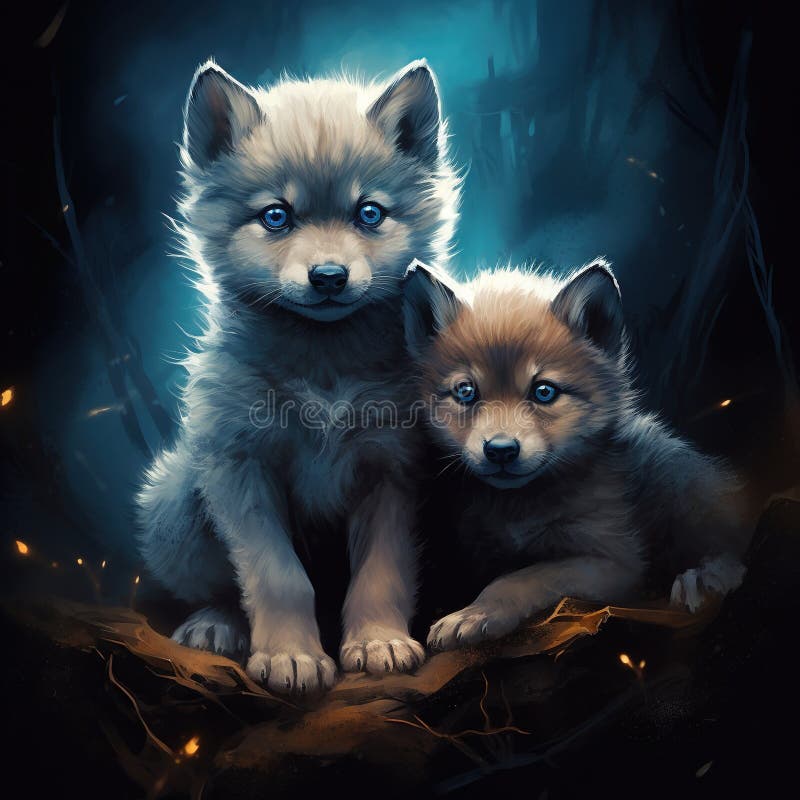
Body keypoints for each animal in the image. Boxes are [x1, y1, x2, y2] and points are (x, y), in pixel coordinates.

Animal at [136, 60, 460, 692]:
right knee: (220, 588)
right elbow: (277, 576)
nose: (329, 276)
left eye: (369, 213)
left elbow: (380, 573)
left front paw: (377, 642)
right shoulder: (241, 468)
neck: (324, 367)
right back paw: (215, 624)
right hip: (175, 503)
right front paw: (292, 656)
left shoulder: (392, 470)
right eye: (276, 216)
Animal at [403, 260, 750, 650]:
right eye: (465, 391)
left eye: (544, 391)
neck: (521, 506)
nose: (500, 451)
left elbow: (523, 577)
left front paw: (476, 615)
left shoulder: (615, 561)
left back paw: (703, 578)